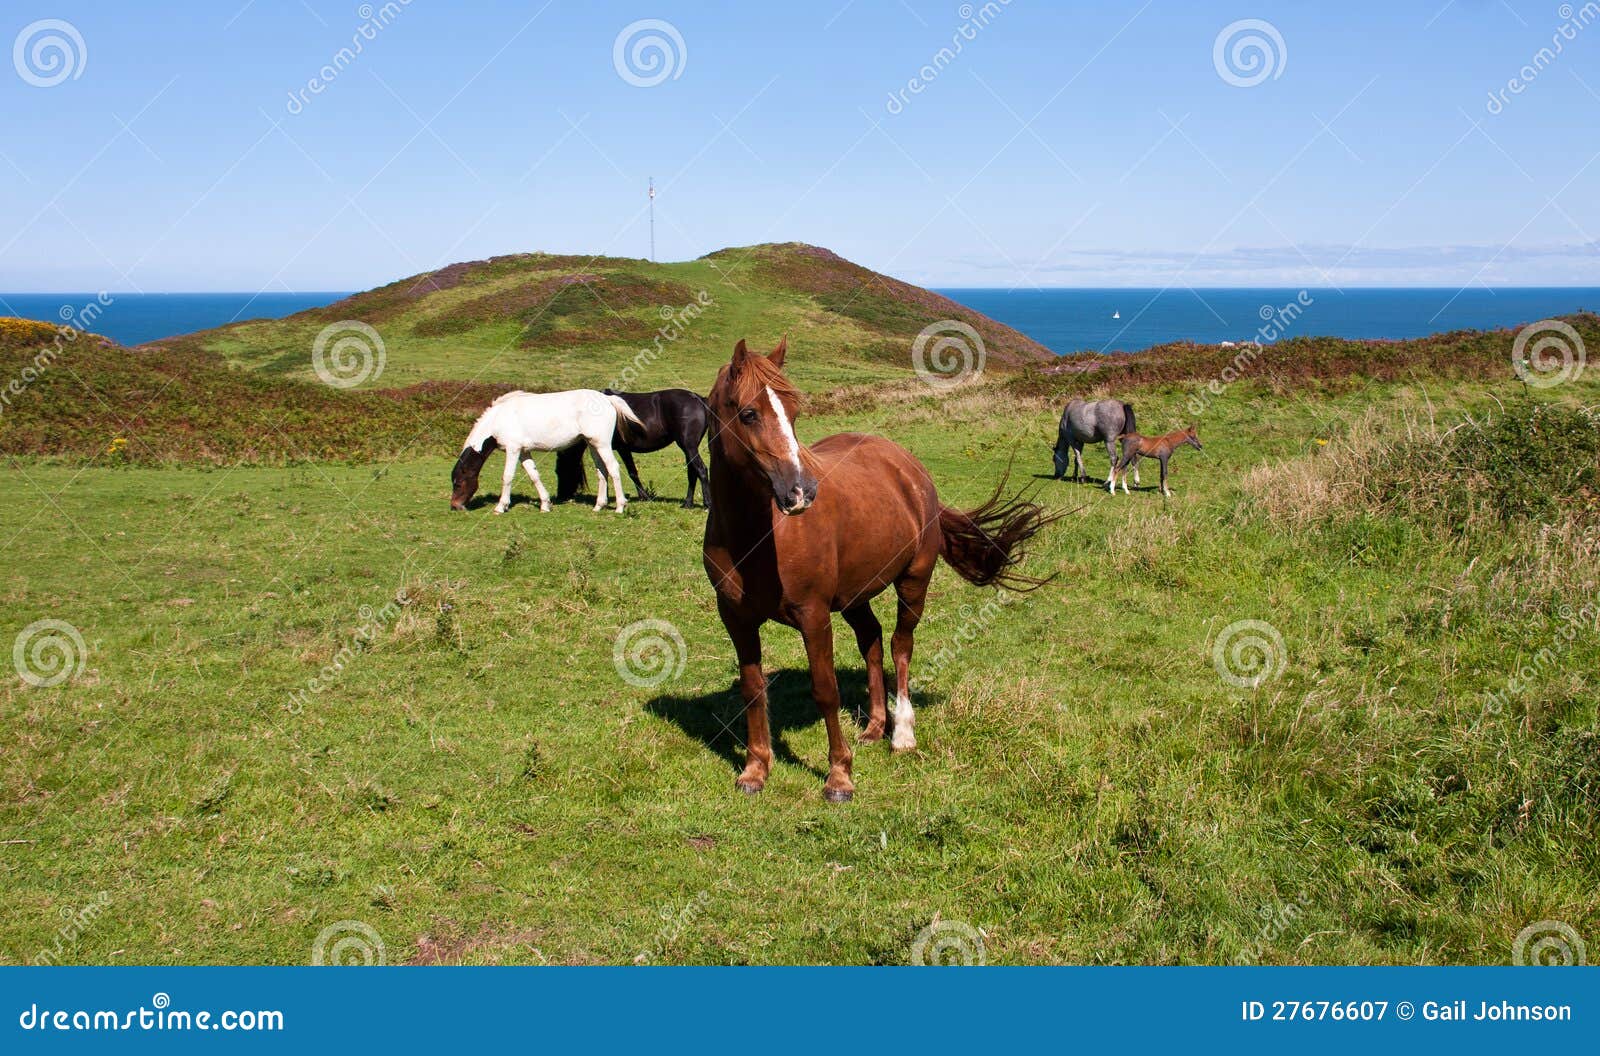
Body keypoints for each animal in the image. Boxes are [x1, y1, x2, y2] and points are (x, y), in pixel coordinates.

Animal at [449, 390, 644, 514]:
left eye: (458, 484)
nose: (455, 506)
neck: (498, 419)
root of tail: (607, 399)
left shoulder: (513, 449)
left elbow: (507, 476)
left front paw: (500, 506)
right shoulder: (523, 452)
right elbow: (534, 475)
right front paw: (545, 504)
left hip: (602, 444)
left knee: (613, 468)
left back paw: (619, 506)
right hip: (592, 444)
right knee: (602, 470)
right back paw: (599, 506)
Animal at [552, 388, 711, 509]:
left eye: (560, 470)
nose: (560, 496)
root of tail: (698, 398)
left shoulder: (623, 449)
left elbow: (631, 472)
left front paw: (642, 497)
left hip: (688, 446)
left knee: (701, 470)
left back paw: (707, 504)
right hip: (688, 448)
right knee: (692, 472)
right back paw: (687, 504)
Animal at [702, 337, 1061, 802]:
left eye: (794, 412)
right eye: (749, 413)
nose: (801, 492)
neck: (758, 537)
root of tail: (909, 468)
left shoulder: (813, 616)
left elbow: (826, 690)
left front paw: (839, 776)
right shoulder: (736, 618)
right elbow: (752, 689)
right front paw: (756, 769)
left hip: (913, 584)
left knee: (899, 645)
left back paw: (901, 732)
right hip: (855, 594)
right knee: (871, 641)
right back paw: (874, 726)